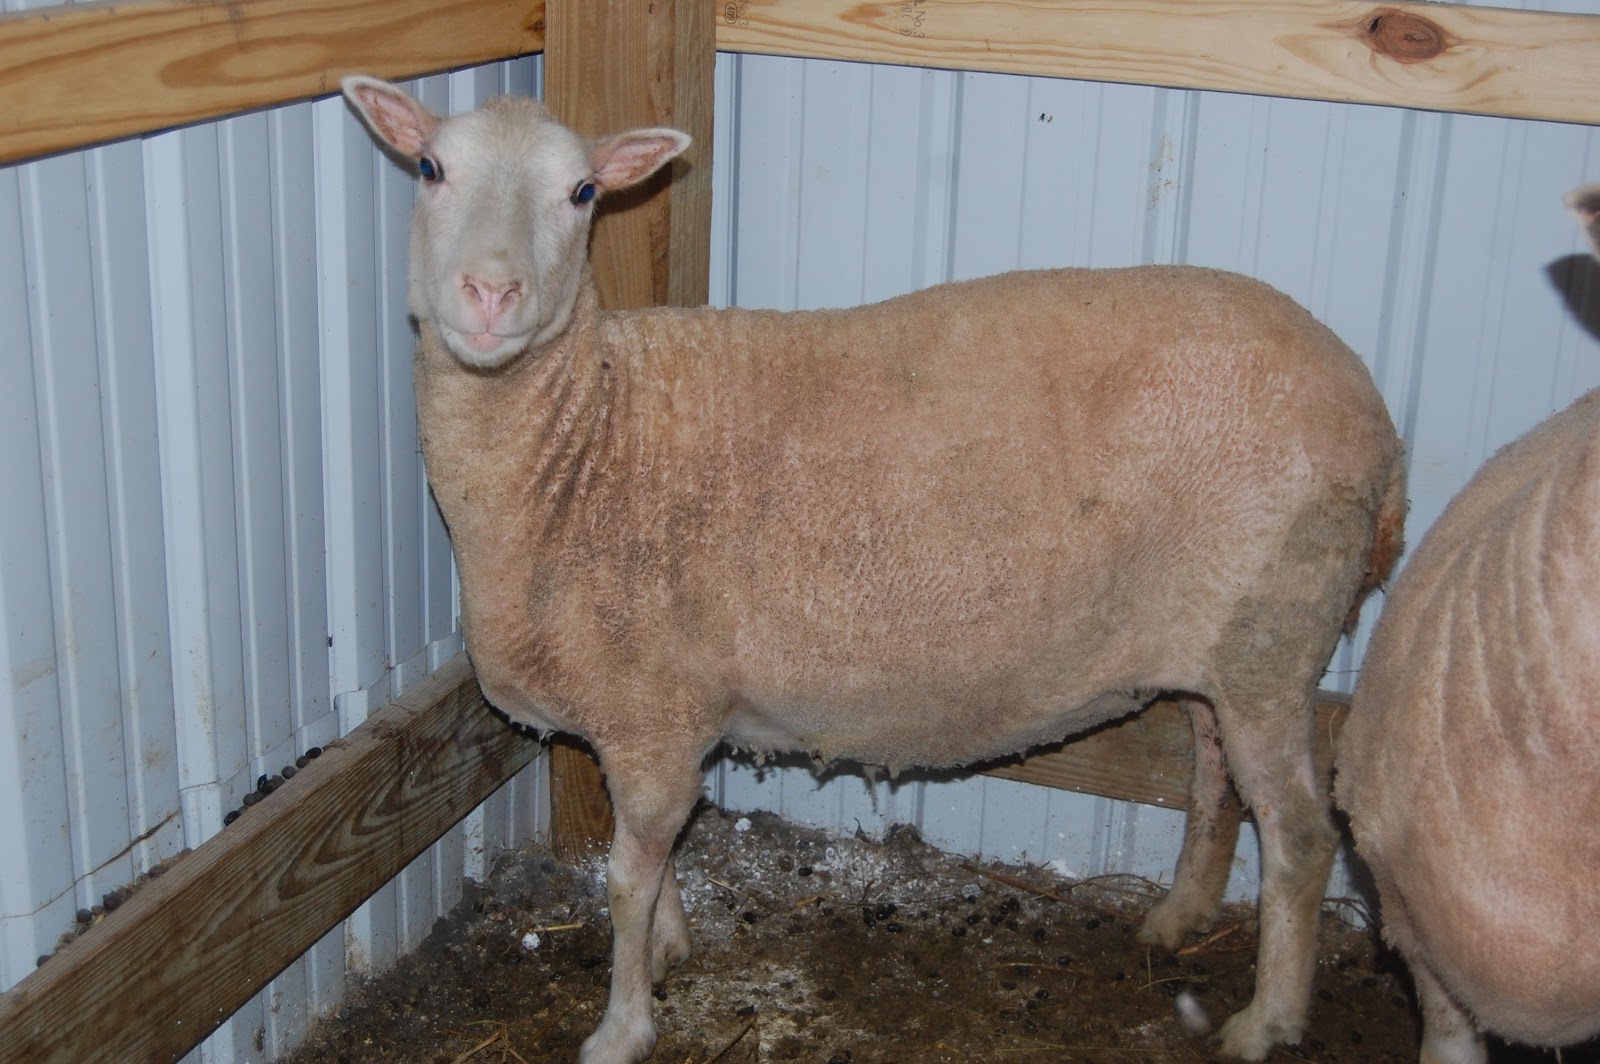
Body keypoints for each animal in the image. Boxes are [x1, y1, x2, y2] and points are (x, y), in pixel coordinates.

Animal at [340, 76, 1406, 1064]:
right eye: (430, 169)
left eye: (584, 191)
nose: (490, 295)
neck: (587, 436)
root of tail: (1377, 423)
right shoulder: (643, 716)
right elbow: (649, 858)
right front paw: (672, 945)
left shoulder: (655, 711)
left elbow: (625, 875)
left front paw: (623, 1022)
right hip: (1221, 641)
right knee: (1212, 773)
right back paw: (1180, 917)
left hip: (1275, 633)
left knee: (1301, 838)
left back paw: (1266, 1021)